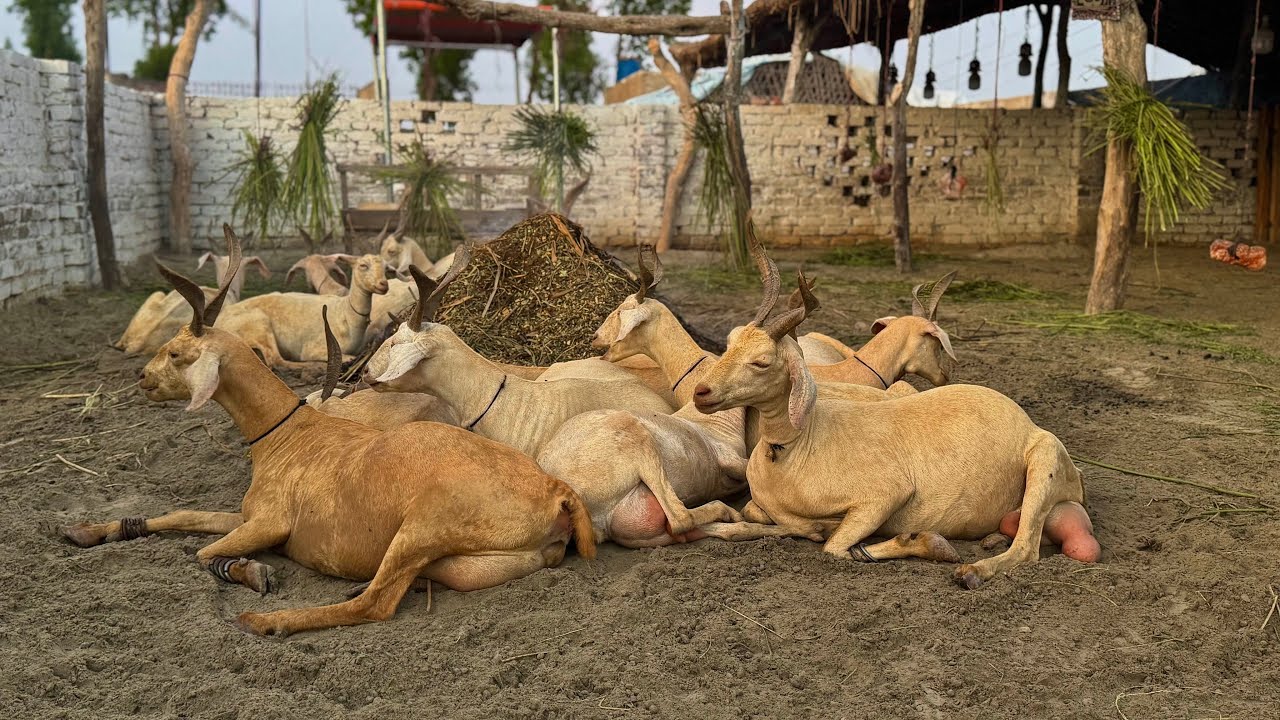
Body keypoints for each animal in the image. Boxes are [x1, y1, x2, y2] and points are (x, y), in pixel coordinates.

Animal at [689, 245, 1100, 588]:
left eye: (762, 361)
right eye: (729, 342)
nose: (701, 391)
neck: (792, 448)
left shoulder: (885, 495)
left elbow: (834, 546)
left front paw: (925, 542)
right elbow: (760, 520)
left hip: (1044, 460)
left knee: (1027, 547)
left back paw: (972, 570)